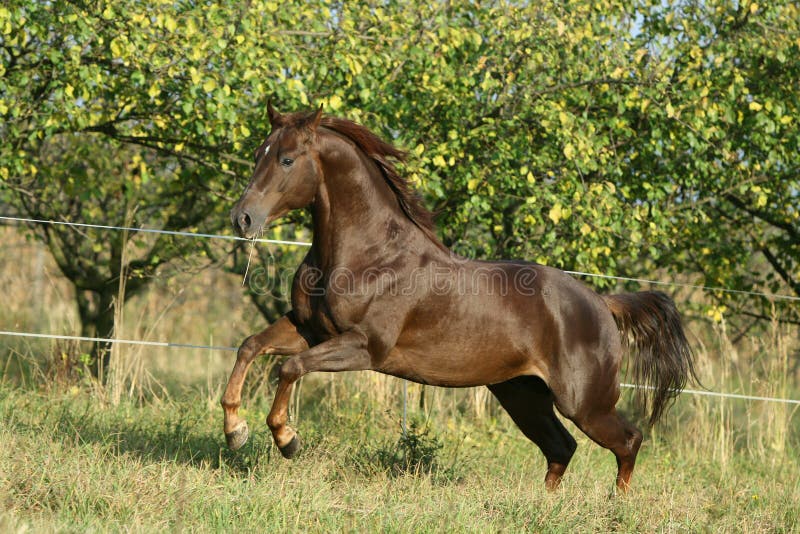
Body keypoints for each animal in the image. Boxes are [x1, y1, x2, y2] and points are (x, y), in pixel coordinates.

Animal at [221, 104, 697, 492]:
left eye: (286, 159)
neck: (370, 253)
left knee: (628, 440)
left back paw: (618, 505)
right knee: (561, 447)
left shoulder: (364, 347)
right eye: (259, 153)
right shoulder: (309, 328)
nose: (242, 218)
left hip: (584, 403)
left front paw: (286, 439)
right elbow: (251, 346)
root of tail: (602, 304)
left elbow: (288, 367)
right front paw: (235, 430)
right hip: (522, 394)